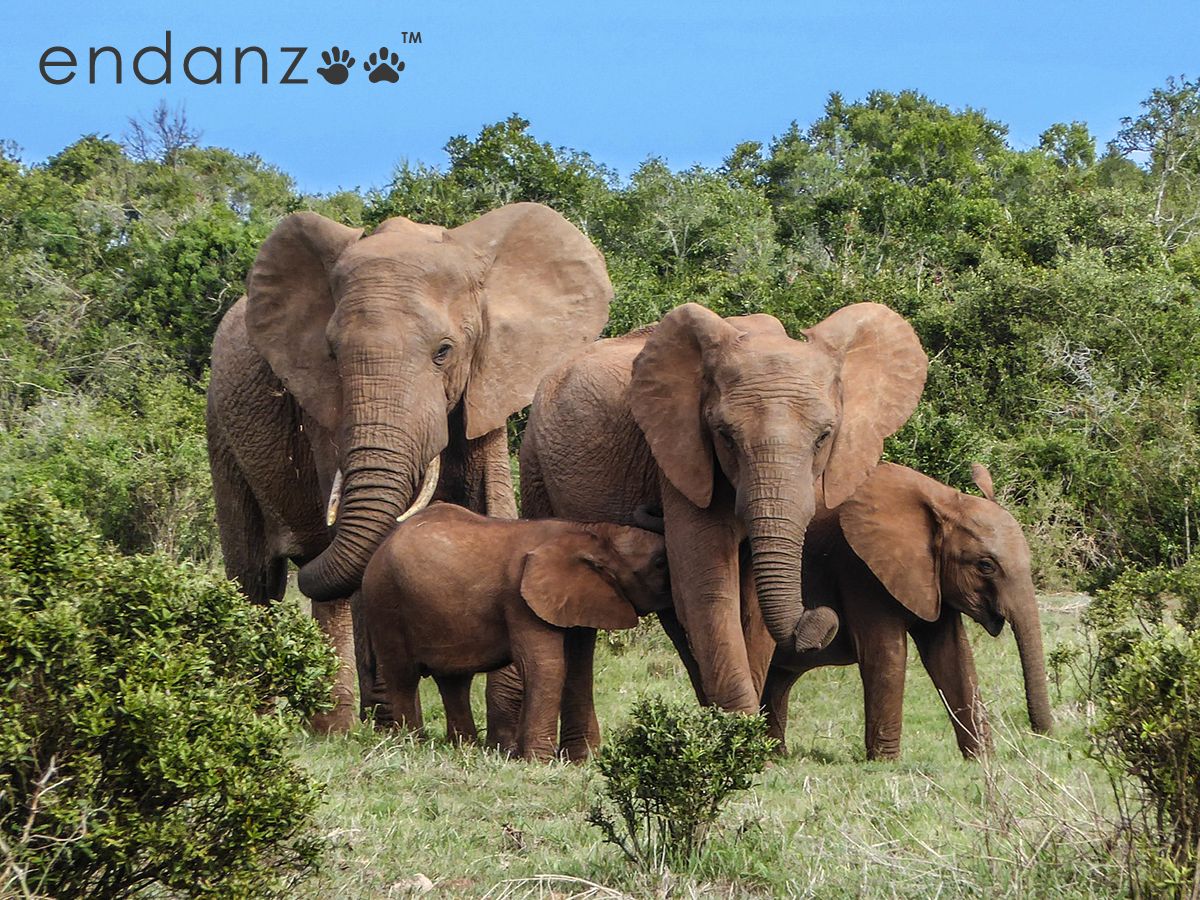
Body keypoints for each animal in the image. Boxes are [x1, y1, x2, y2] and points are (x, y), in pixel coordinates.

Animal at [206, 202, 612, 731]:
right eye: (332, 355)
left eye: (444, 351)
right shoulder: (323, 409)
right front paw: (392, 726)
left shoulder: (487, 382)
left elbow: (493, 506)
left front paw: (504, 731)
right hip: (220, 428)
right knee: (255, 578)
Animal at [360, 503, 672, 760]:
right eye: (659, 563)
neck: (591, 533)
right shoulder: (520, 599)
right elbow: (545, 666)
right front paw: (538, 761)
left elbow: (577, 667)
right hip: (384, 601)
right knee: (403, 676)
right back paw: (412, 744)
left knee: (454, 681)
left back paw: (463, 748)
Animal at [491, 301, 928, 757]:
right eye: (725, 436)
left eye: (824, 437)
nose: (821, 618)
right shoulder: (681, 457)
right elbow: (709, 590)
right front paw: (742, 745)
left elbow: (750, 605)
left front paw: (745, 745)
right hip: (535, 465)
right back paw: (583, 757)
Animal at [761, 462, 1054, 760]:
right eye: (985, 566)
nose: (1041, 734)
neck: (945, 500)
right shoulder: (859, 568)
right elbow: (887, 653)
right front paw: (885, 763)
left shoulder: (932, 579)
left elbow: (952, 654)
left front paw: (983, 759)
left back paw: (776, 754)